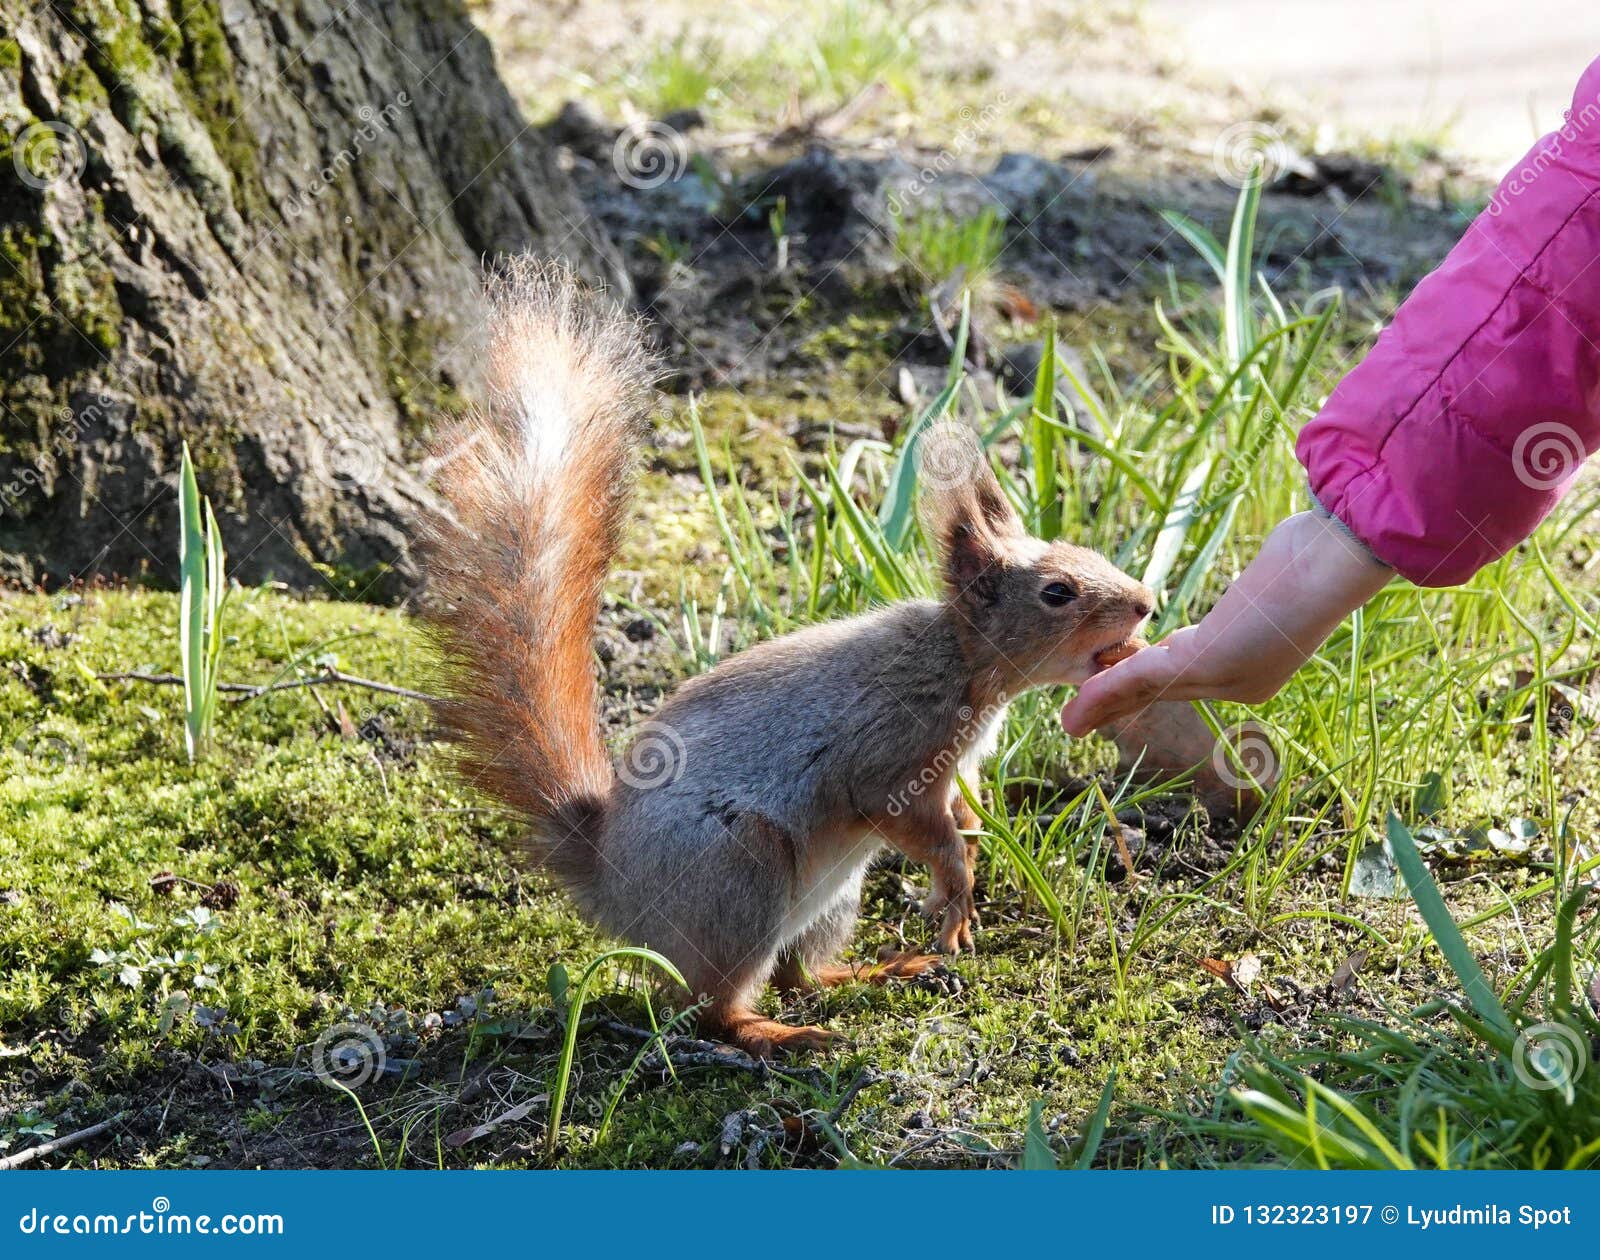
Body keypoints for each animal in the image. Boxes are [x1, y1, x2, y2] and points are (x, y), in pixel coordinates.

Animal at [419, 259, 1154, 1058]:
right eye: (1057, 591)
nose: (1147, 602)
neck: (960, 666)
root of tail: (616, 885)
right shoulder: (888, 754)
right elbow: (905, 815)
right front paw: (957, 886)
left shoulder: (956, 763)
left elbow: (963, 806)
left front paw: (975, 837)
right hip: (741, 875)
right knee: (713, 1007)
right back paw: (781, 1033)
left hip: (833, 897)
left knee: (800, 971)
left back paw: (874, 972)